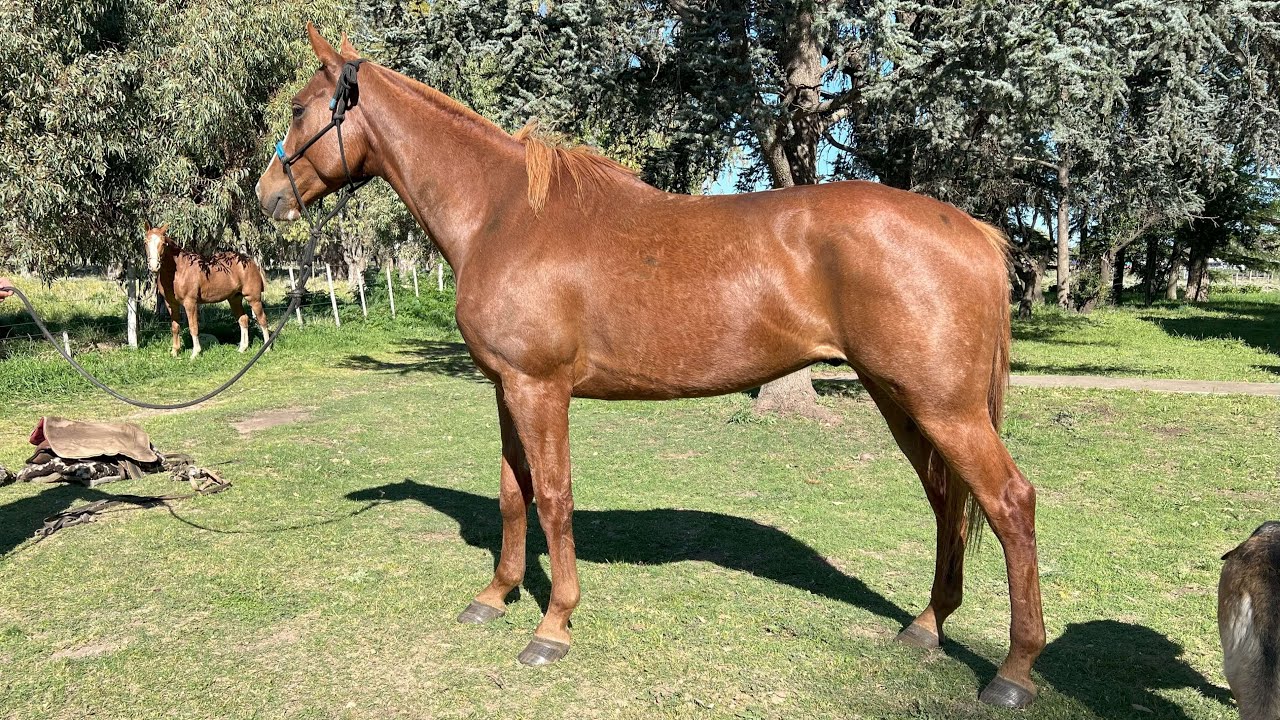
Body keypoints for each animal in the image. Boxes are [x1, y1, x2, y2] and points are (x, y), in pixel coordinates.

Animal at [144, 224, 271, 360]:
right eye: (145, 242)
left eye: (163, 243)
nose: (154, 266)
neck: (178, 271)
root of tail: (250, 262)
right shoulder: (171, 304)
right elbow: (175, 327)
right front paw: (175, 352)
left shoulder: (190, 303)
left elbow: (193, 327)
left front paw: (195, 353)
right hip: (234, 299)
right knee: (243, 319)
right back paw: (242, 348)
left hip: (253, 298)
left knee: (262, 320)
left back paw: (267, 348)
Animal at [255, 26, 1045, 709]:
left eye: (297, 109)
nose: (267, 197)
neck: (502, 216)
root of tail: (971, 229)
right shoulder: (506, 389)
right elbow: (513, 494)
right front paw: (495, 597)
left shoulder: (540, 390)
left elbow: (553, 498)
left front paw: (552, 627)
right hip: (901, 399)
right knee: (947, 499)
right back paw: (928, 625)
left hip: (943, 406)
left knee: (1009, 503)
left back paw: (1012, 671)